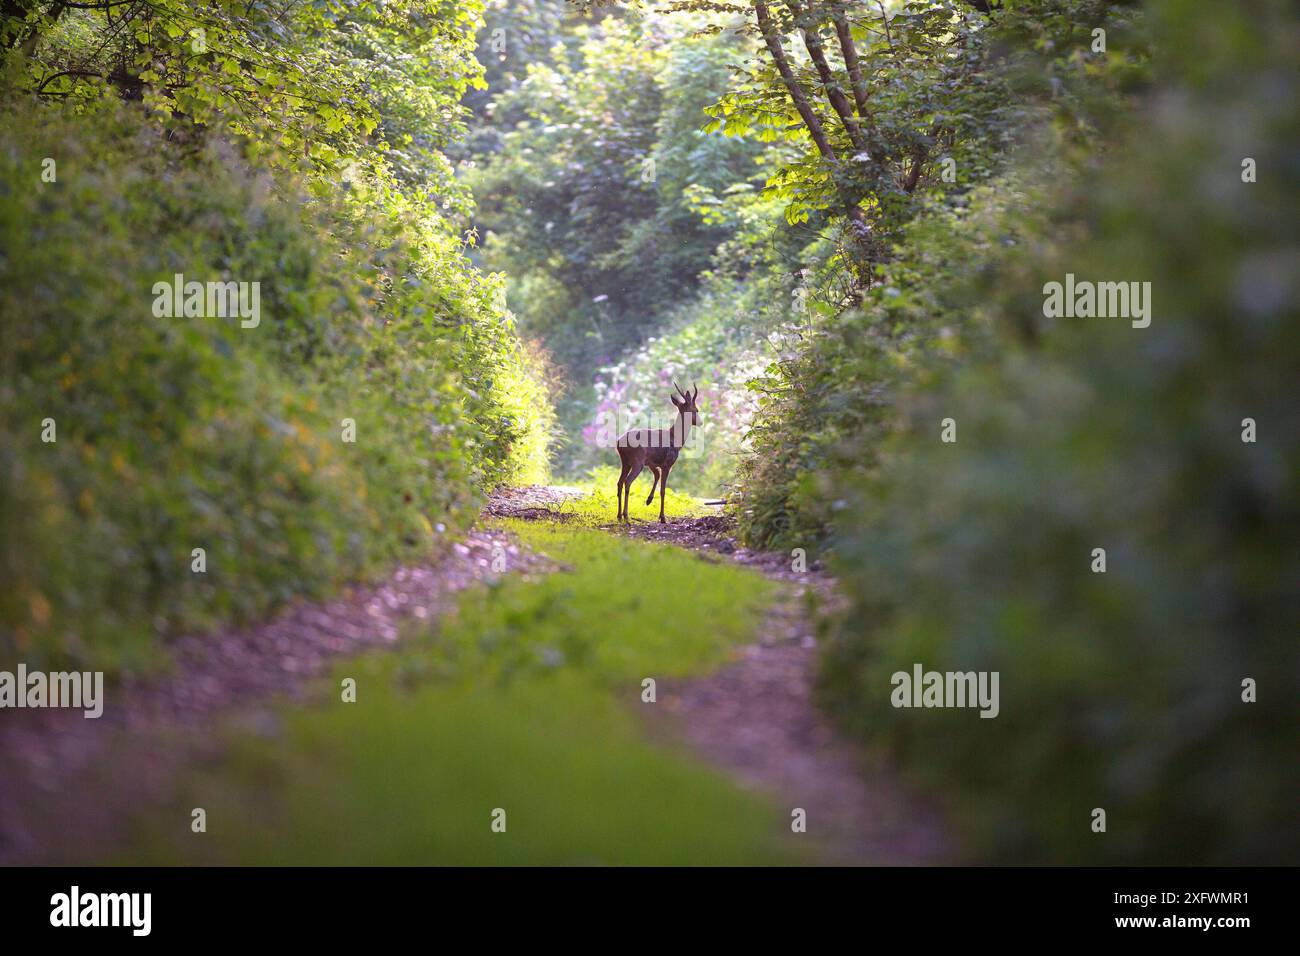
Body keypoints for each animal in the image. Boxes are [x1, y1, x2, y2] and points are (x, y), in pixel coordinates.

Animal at [615, 381, 699, 524]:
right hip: (637, 461)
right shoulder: (667, 463)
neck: (676, 439)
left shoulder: (652, 463)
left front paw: (648, 500)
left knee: (620, 482)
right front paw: (663, 517)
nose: (700, 422)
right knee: (628, 481)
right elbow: (663, 490)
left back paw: (619, 515)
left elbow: (657, 476)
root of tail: (619, 442)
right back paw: (626, 516)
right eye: (696, 410)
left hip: (625, 461)